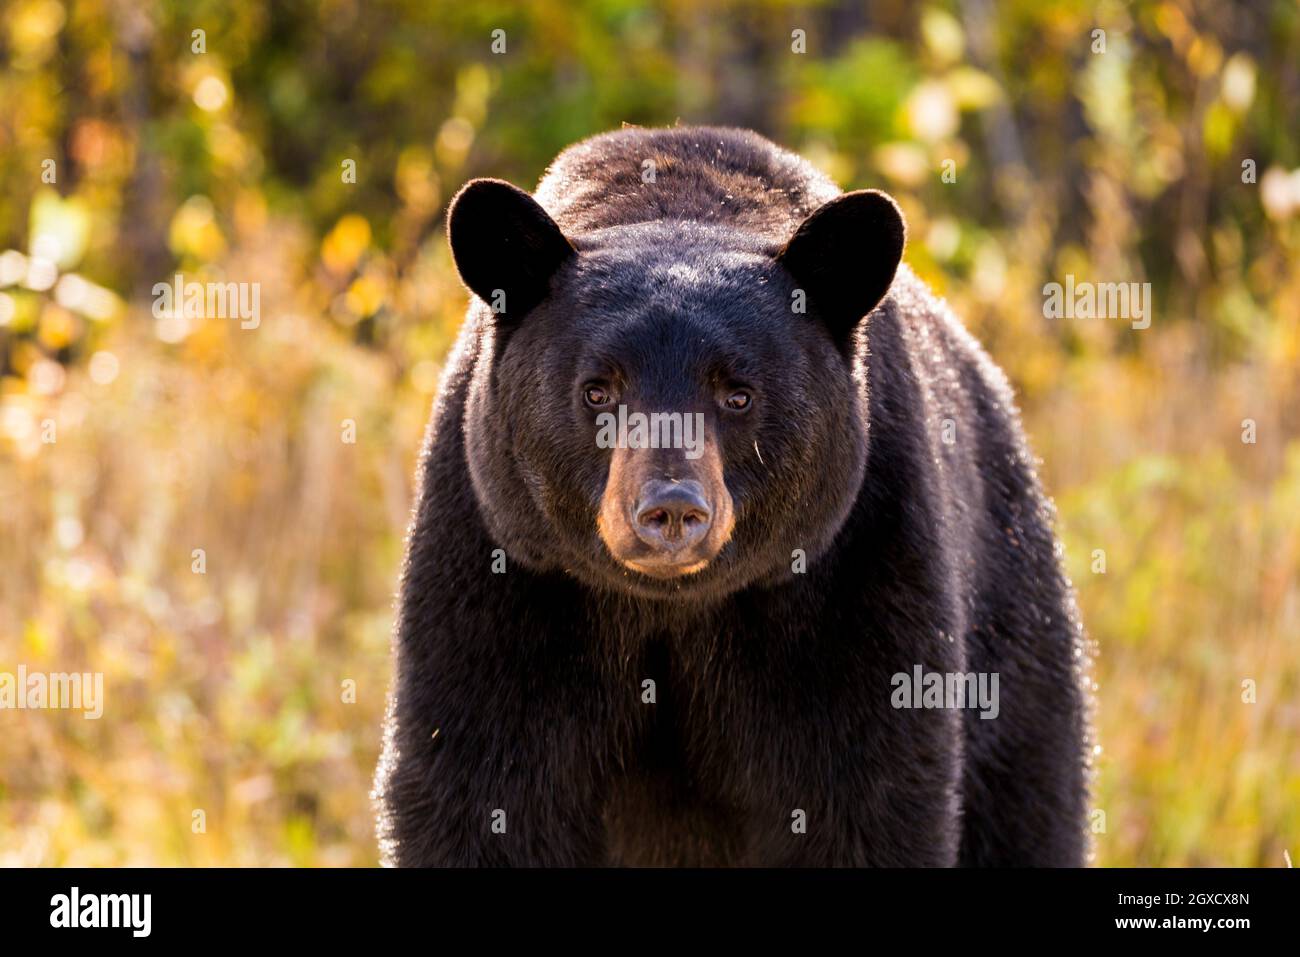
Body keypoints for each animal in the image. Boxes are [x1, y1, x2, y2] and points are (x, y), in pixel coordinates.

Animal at [374, 125, 1089, 867]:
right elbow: (481, 783)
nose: (670, 509)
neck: (670, 608)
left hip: (1011, 619)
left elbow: (862, 791)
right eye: (598, 390)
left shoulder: (860, 562)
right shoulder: (502, 564)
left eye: (737, 393)